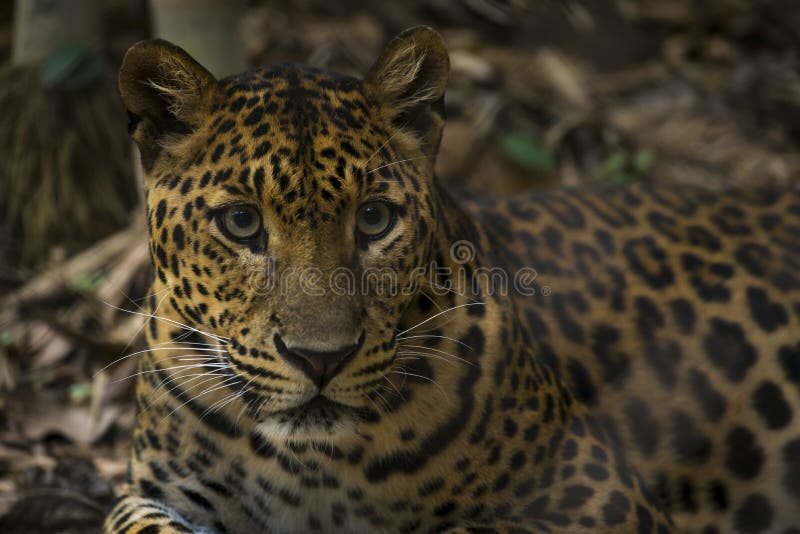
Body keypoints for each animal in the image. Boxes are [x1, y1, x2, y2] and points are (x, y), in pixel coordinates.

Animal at [105, 26, 800, 533]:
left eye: (374, 218)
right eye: (242, 222)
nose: (321, 359)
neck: (312, 469)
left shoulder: (596, 497)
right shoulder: (152, 494)